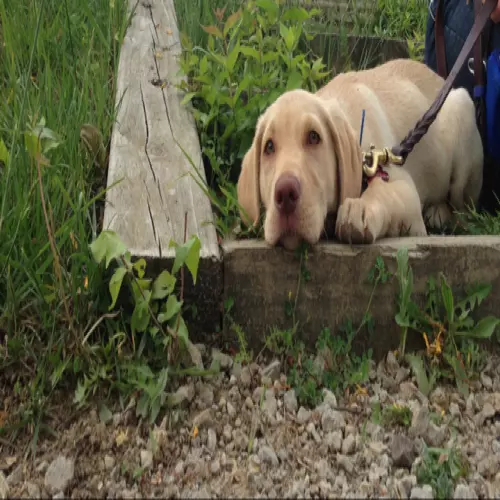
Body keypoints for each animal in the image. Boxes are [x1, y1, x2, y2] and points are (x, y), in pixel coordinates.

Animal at [236, 58, 482, 250]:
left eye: (314, 137)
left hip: (462, 106)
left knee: (461, 206)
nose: (285, 194)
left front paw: (361, 208)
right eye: (269, 147)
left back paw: (440, 212)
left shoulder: (405, 190)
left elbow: (384, 192)